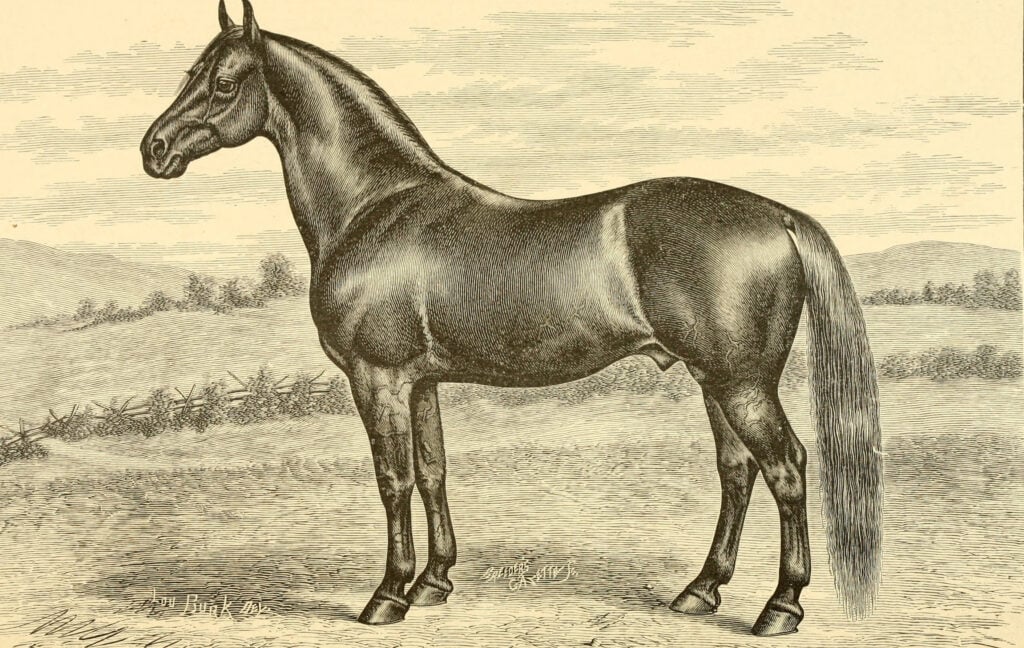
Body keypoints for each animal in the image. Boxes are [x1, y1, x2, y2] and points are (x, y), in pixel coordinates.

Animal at [141, 1, 882, 637]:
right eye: (190, 74)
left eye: (223, 82)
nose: (154, 149)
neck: (377, 206)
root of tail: (777, 215)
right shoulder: (420, 383)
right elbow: (433, 472)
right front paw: (433, 583)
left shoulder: (377, 379)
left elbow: (393, 481)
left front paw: (388, 595)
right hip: (715, 381)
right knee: (736, 471)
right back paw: (700, 591)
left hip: (741, 383)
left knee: (786, 468)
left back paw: (780, 607)